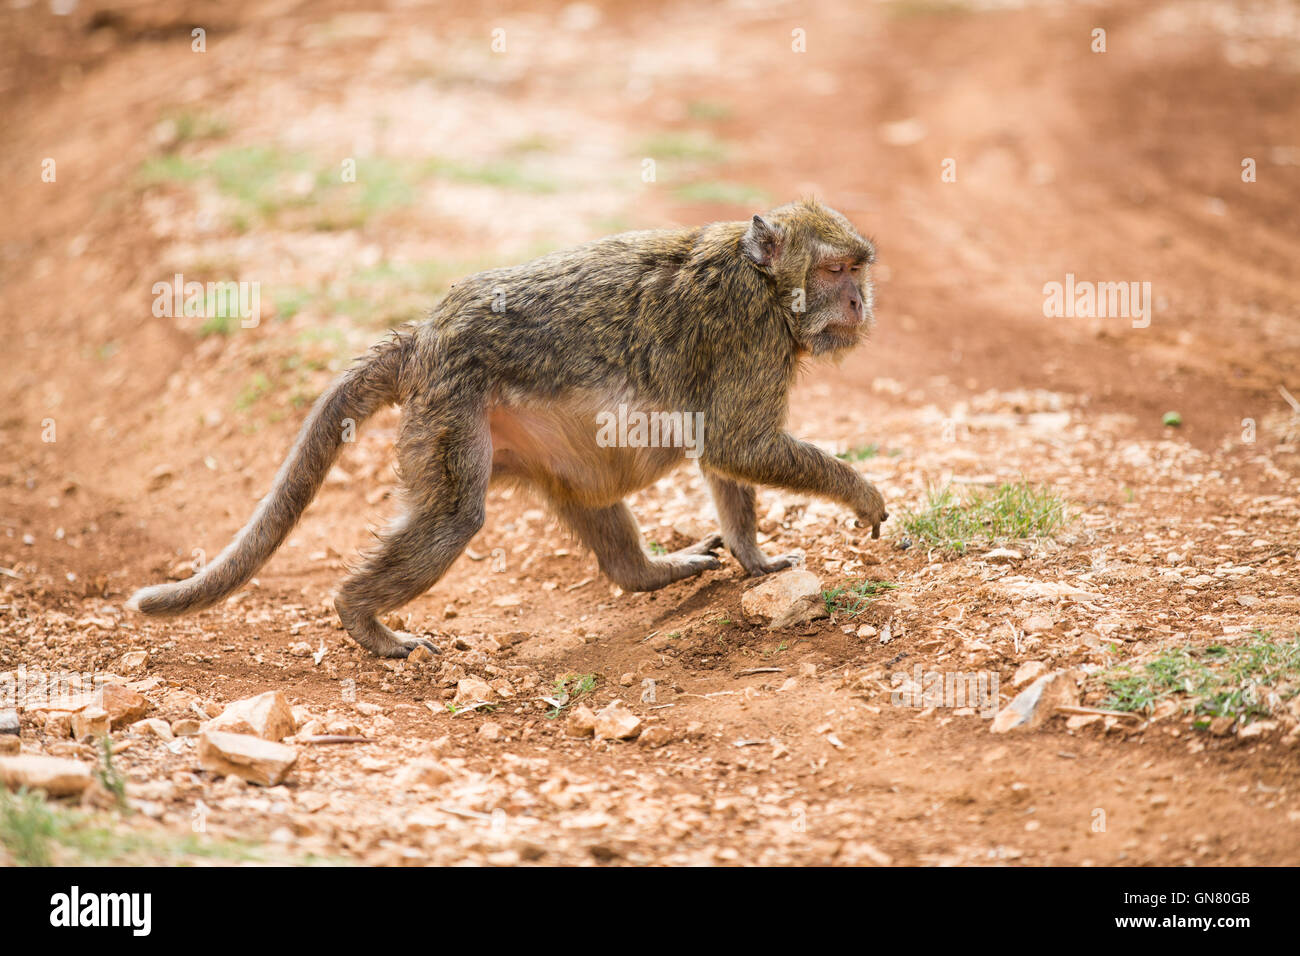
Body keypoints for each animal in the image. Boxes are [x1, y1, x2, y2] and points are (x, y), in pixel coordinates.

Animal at [128, 198, 889, 658]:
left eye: (857, 268)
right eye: (834, 269)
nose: (858, 302)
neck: (763, 282)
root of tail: (425, 336)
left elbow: (722, 455)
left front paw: (754, 559)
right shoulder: (749, 335)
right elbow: (737, 445)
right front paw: (863, 496)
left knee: (584, 491)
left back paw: (643, 572)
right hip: (450, 410)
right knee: (454, 518)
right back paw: (362, 619)